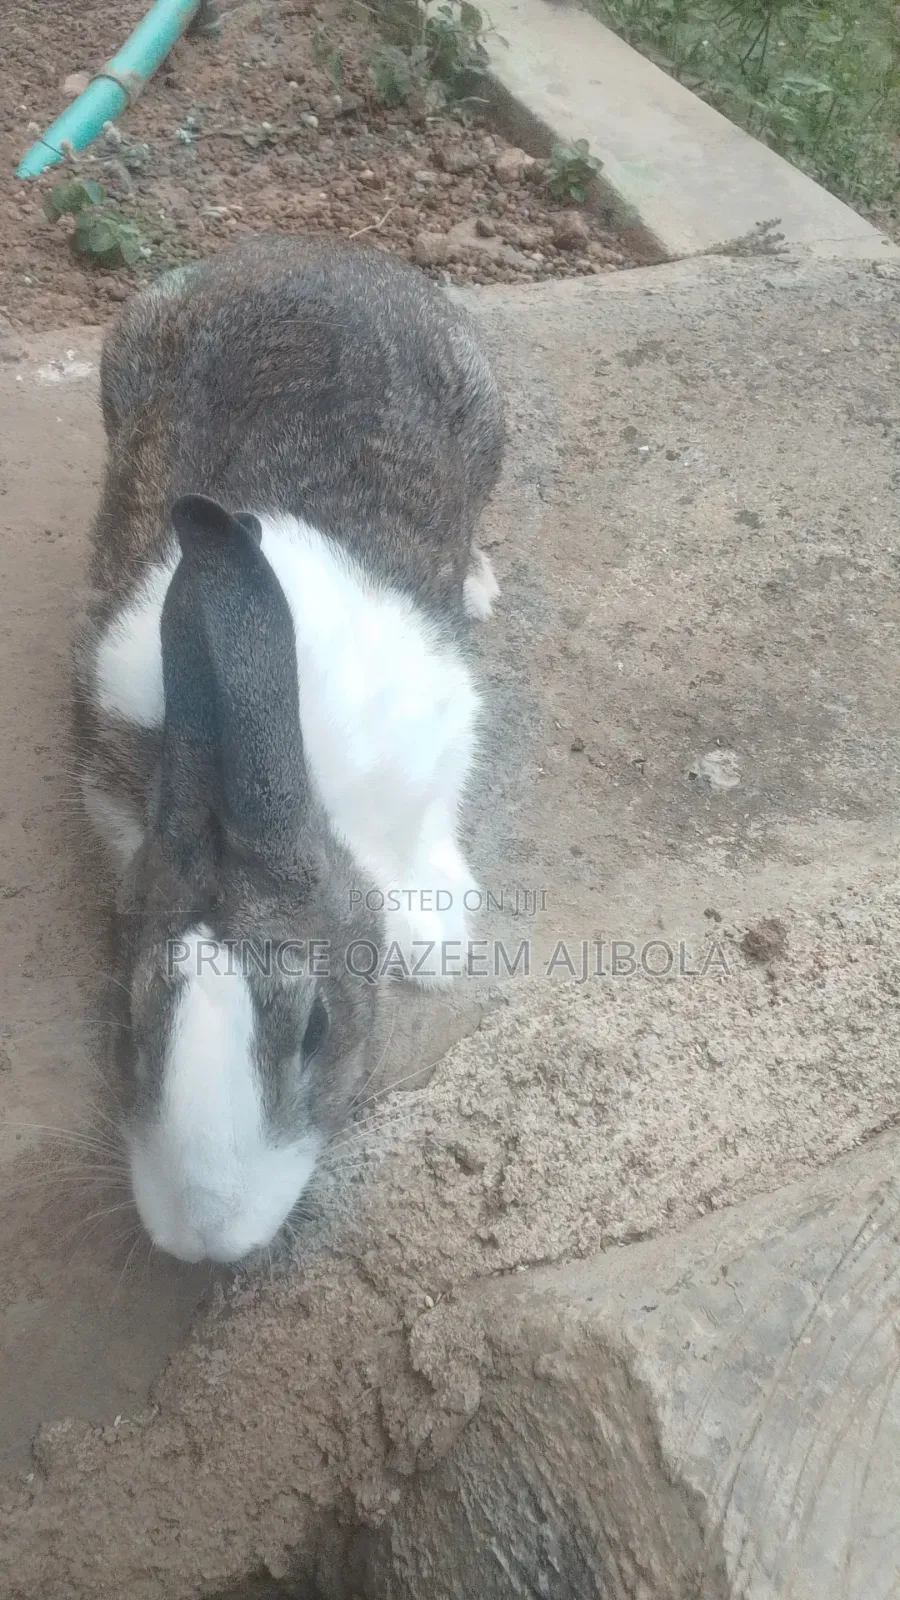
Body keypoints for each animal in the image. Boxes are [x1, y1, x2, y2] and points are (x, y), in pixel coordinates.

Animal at [72, 235, 505, 1265]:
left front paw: (437, 944)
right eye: (125, 1033)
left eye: (316, 1026)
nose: (208, 1238)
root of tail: (316, 254)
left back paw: (478, 583)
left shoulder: (438, 726)